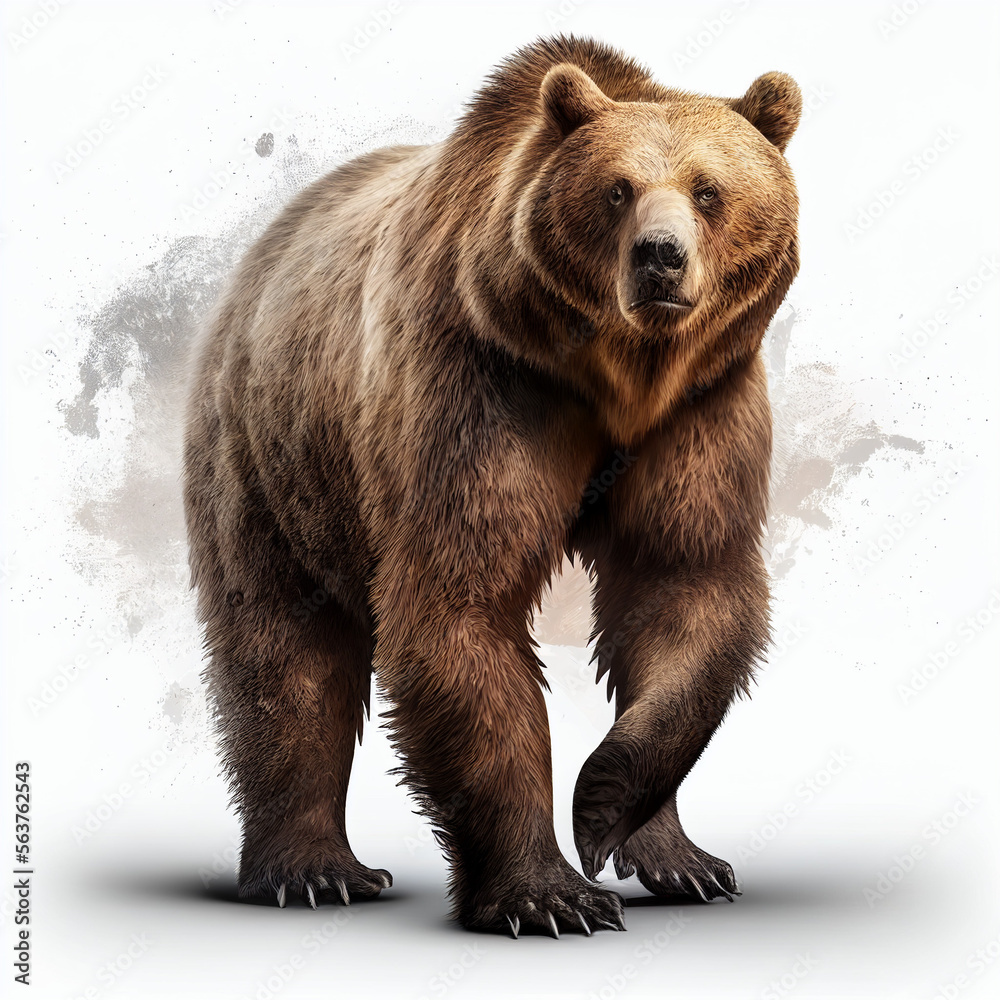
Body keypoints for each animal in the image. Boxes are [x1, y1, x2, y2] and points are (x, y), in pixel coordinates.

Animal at [183, 34, 801, 937]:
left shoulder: (703, 406)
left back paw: (683, 861)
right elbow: (461, 603)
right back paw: (314, 870)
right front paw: (552, 895)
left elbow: (685, 589)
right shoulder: (485, 382)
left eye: (709, 189)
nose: (660, 257)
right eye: (617, 189)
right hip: (275, 451)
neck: (616, 375)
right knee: (281, 649)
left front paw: (606, 808)